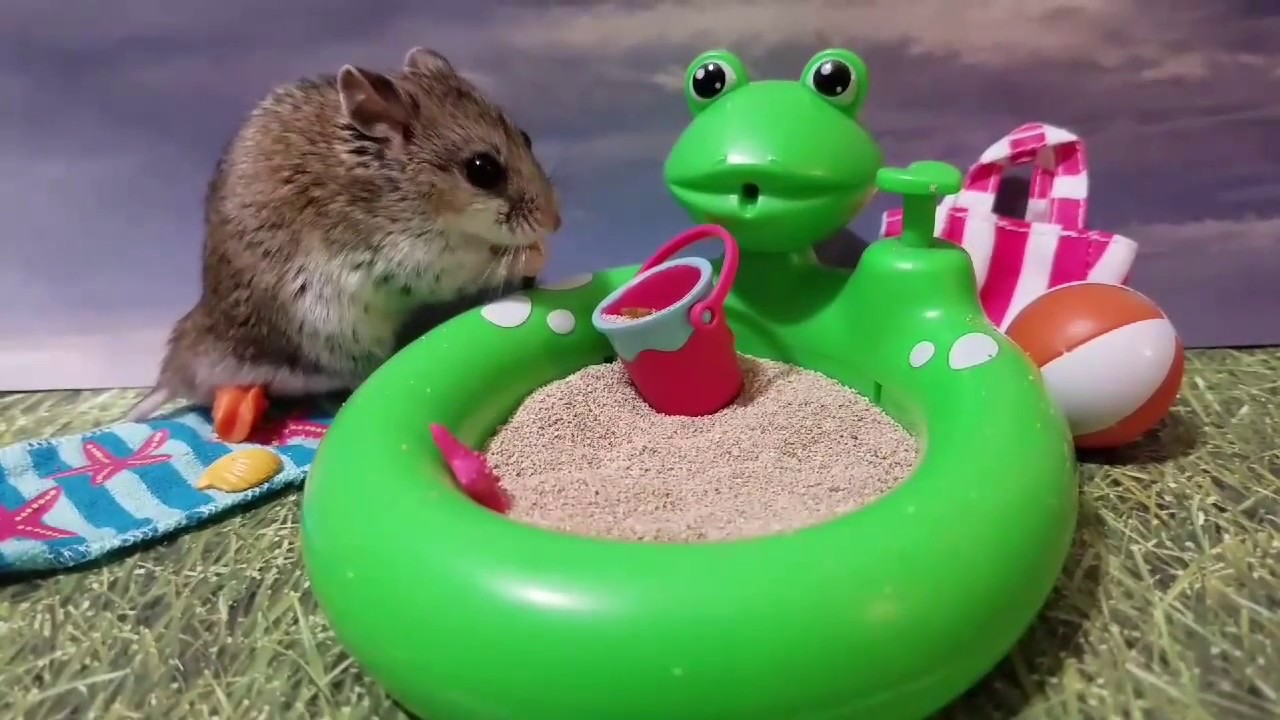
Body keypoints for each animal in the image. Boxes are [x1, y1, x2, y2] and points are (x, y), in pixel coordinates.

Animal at [126, 47, 560, 422]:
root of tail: (178, 371)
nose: (556, 223)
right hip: (338, 335)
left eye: (526, 137)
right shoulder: (416, 257)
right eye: (482, 169)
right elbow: (485, 260)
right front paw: (536, 251)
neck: (404, 184)